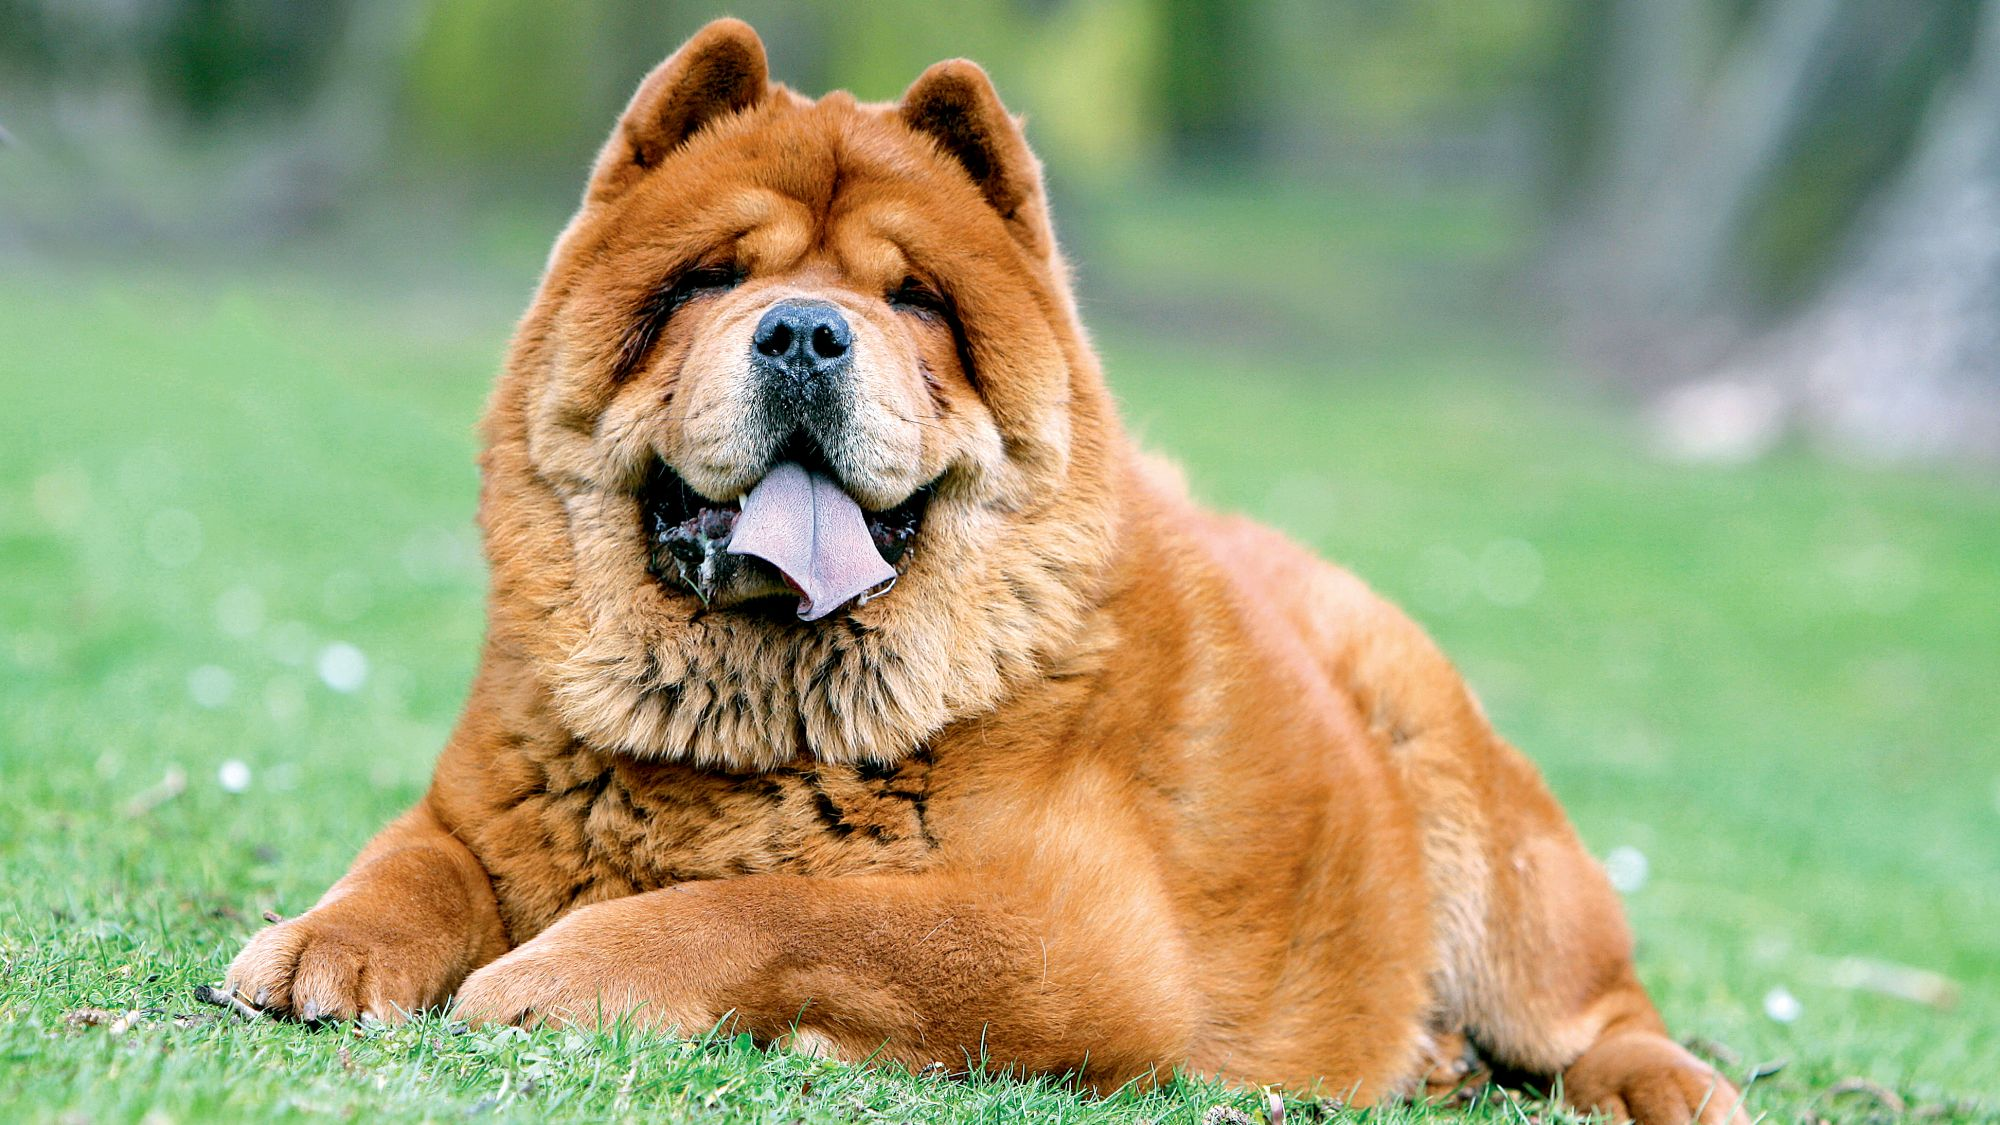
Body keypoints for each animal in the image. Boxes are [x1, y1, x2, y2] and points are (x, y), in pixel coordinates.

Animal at [223, 19, 1752, 1120]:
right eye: (710, 279)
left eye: (914, 301)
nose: (803, 331)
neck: (749, 723)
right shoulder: (484, 804)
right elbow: (415, 862)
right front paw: (317, 941)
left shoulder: (1068, 938)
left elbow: (771, 910)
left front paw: (561, 976)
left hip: (1484, 832)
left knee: (1600, 1013)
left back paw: (1663, 1089)